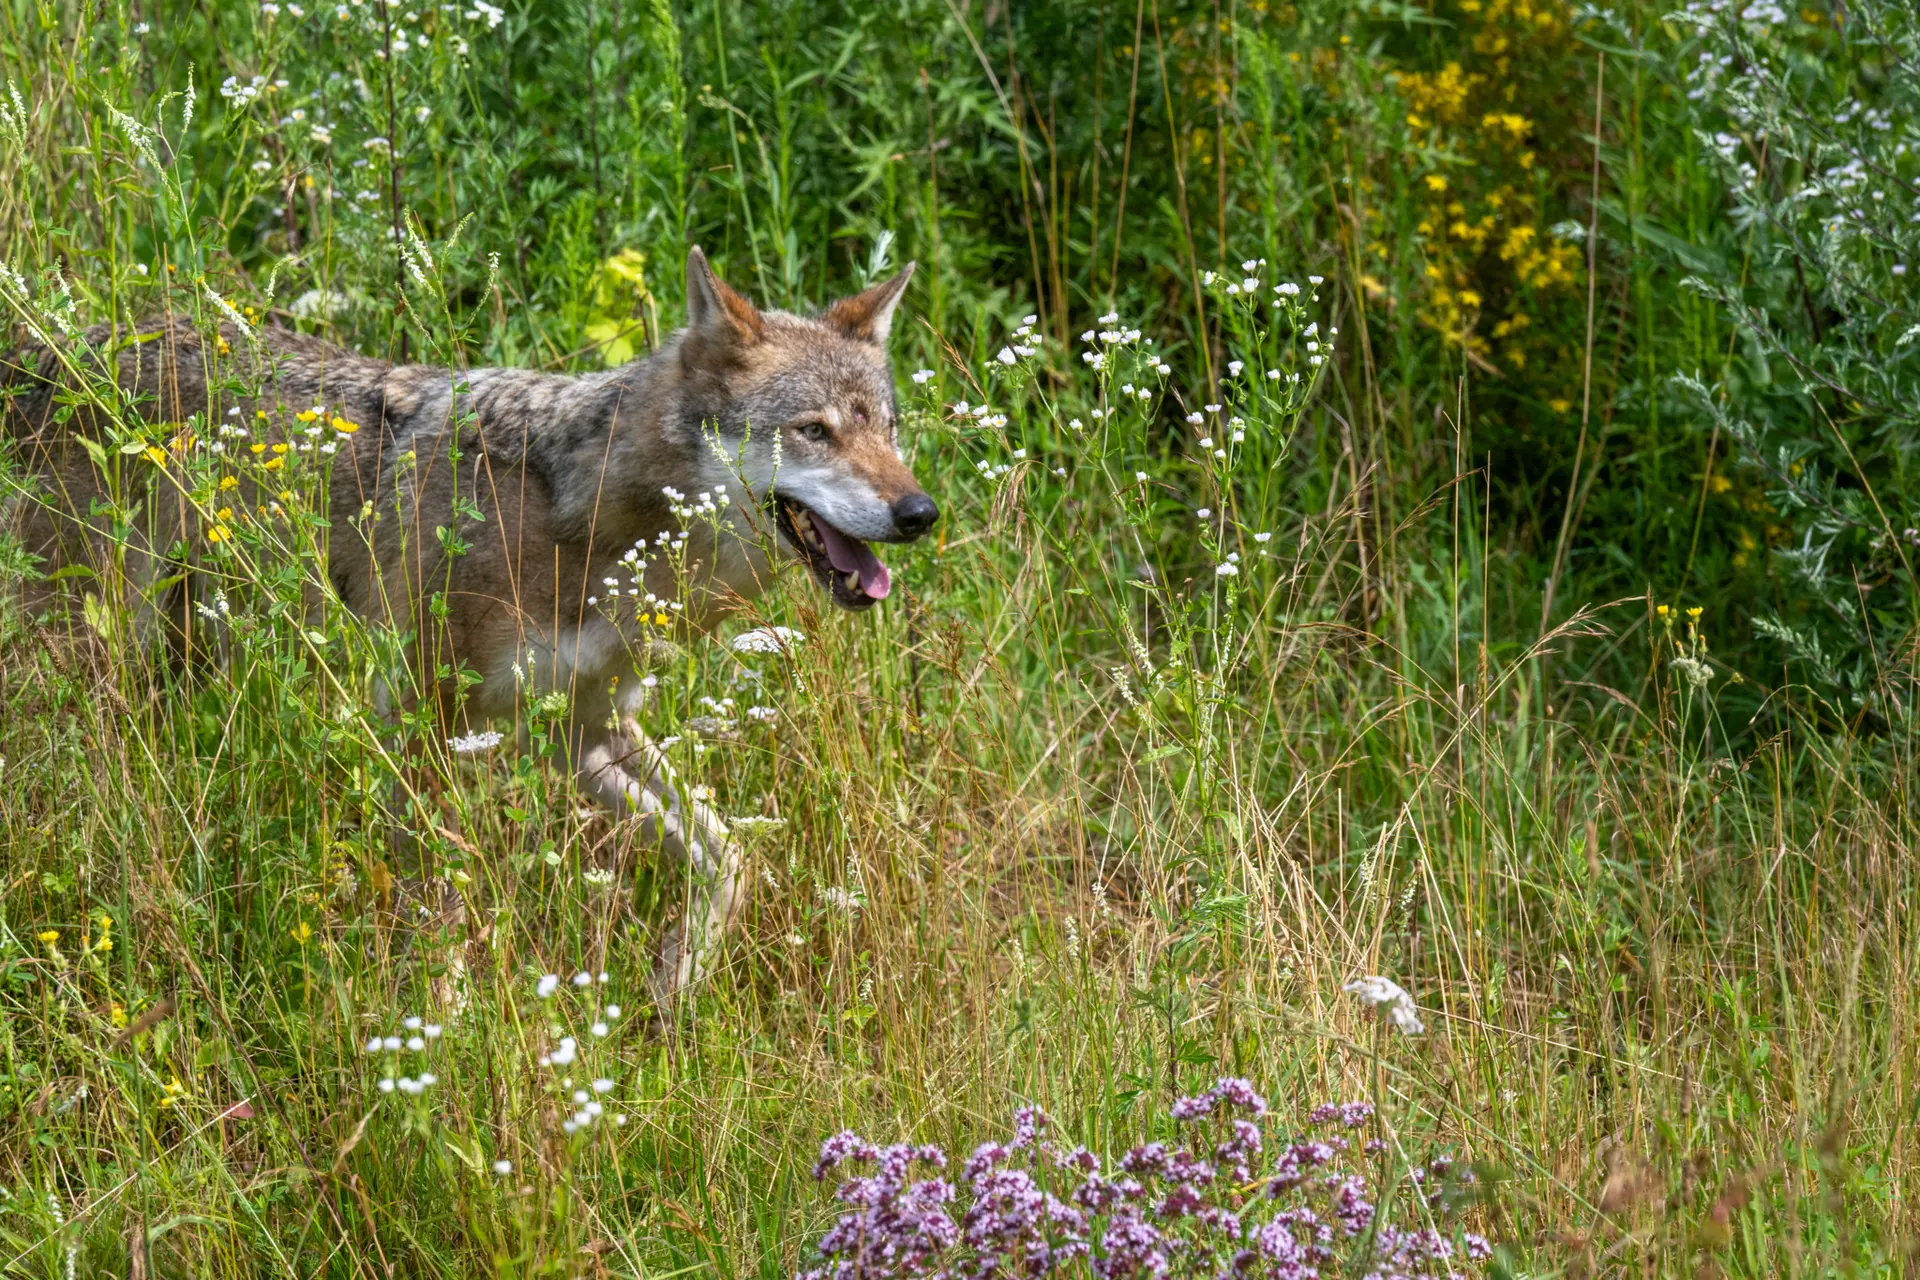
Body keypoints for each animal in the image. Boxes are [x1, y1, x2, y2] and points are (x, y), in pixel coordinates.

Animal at [2, 247, 938, 999]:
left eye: (890, 432)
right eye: (813, 432)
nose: (920, 512)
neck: (589, 523)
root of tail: (46, 351)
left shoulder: (587, 733)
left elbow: (734, 862)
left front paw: (675, 990)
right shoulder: (424, 722)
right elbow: (442, 916)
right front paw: (434, 1050)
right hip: (82, 662)